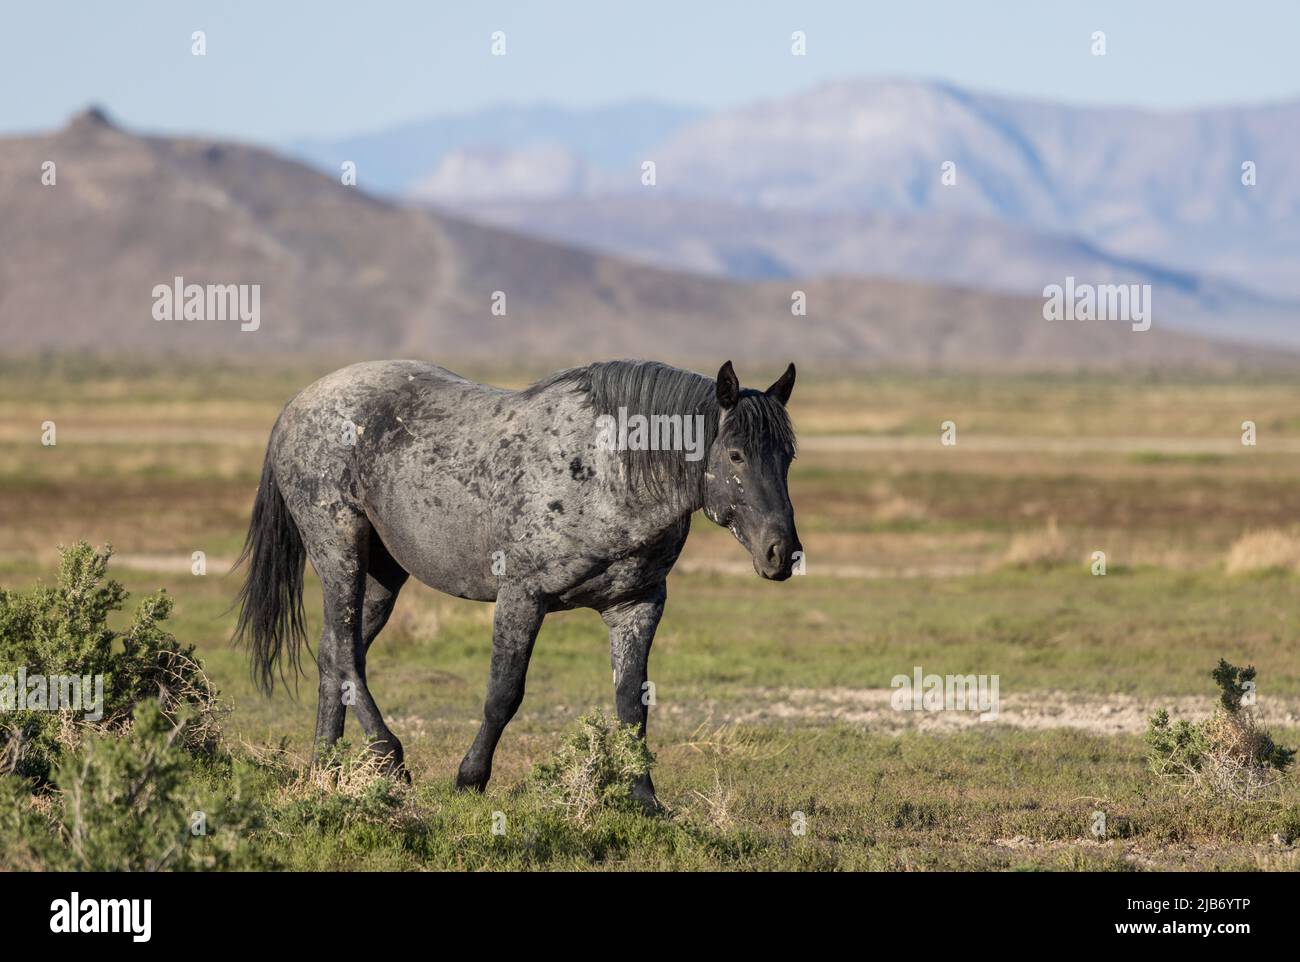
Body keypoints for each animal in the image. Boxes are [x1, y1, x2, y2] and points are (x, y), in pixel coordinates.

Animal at [233, 358, 800, 810]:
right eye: (736, 455)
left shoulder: (637, 605)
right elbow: (503, 694)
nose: (782, 553)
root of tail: (297, 404)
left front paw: (643, 798)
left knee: (335, 653)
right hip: (340, 550)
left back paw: (324, 769)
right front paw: (470, 780)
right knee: (344, 655)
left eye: (788, 457)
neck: (610, 471)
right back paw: (389, 758)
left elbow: (631, 705)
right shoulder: (522, 598)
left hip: (382, 573)